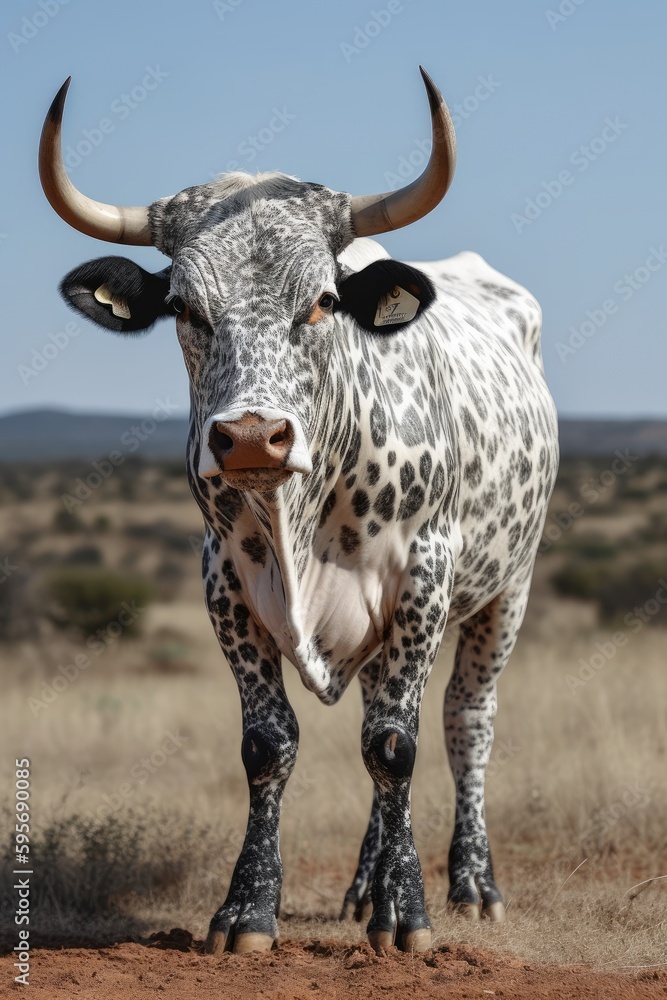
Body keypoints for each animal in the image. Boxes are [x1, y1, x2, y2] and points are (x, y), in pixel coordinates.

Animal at [39, 68, 558, 956]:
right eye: (184, 309)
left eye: (319, 302)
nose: (251, 435)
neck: (300, 517)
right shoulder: (224, 583)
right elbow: (268, 744)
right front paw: (246, 911)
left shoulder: (422, 579)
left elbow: (395, 745)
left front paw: (407, 914)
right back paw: (362, 883)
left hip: (506, 590)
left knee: (464, 722)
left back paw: (469, 883)